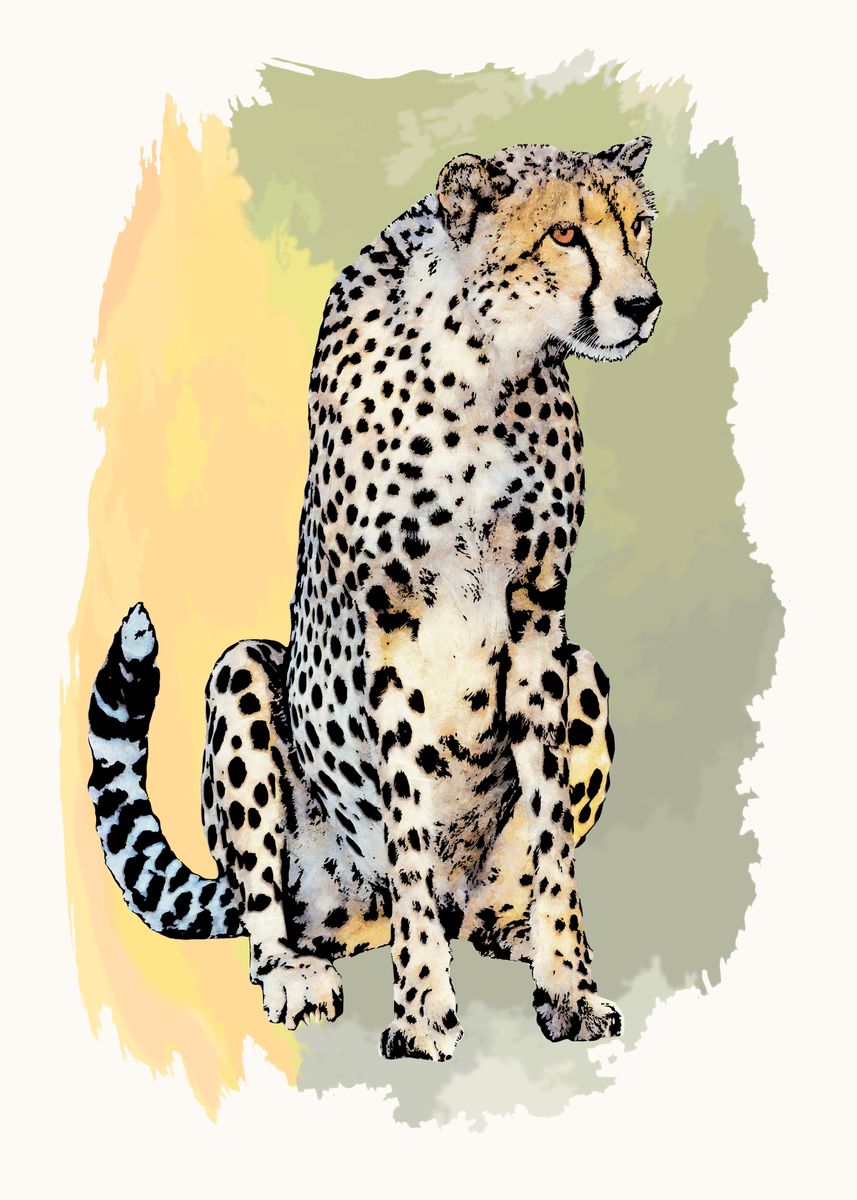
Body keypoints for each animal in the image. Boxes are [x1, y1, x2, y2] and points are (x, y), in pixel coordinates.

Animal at [88, 136, 661, 1061]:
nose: (641, 304)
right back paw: (295, 971)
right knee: (274, 908)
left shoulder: (541, 619)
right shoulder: (395, 628)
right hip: (244, 684)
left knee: (490, 894)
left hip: (585, 672)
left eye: (638, 228)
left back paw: (511, 931)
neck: (484, 368)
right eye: (565, 235)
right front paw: (423, 1010)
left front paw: (566, 985)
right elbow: (409, 826)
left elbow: (549, 840)